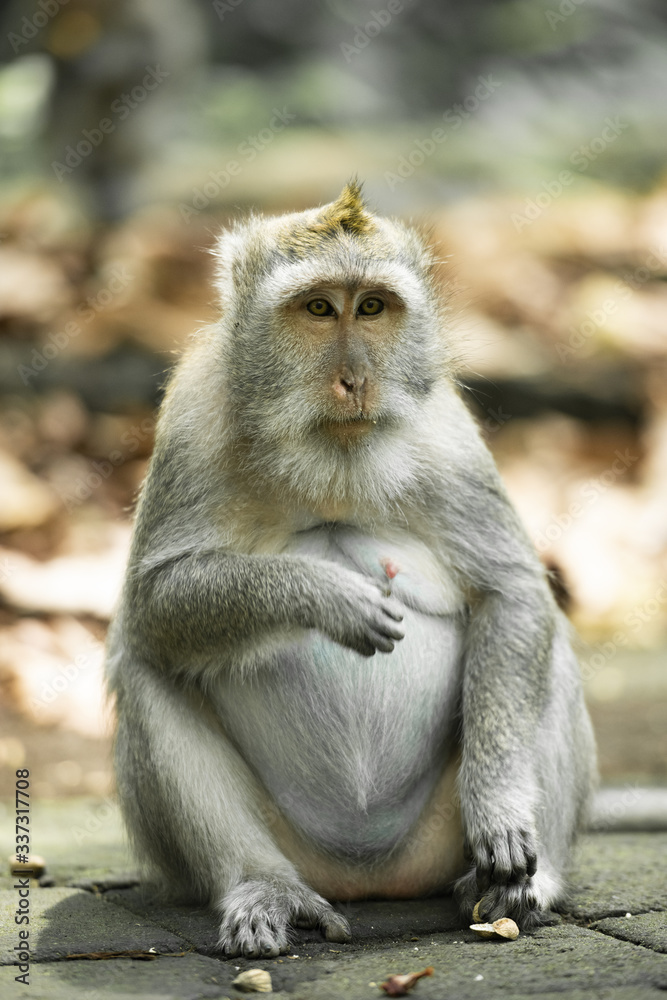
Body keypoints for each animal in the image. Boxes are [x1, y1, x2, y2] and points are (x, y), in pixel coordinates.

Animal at [105, 181, 597, 958]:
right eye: (317, 309)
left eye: (371, 307)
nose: (355, 380)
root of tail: (368, 880)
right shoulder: (193, 417)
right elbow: (153, 605)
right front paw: (326, 596)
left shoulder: (446, 431)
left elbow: (510, 591)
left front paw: (497, 808)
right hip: (291, 850)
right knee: (145, 668)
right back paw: (263, 887)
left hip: (435, 842)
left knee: (545, 648)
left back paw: (527, 887)